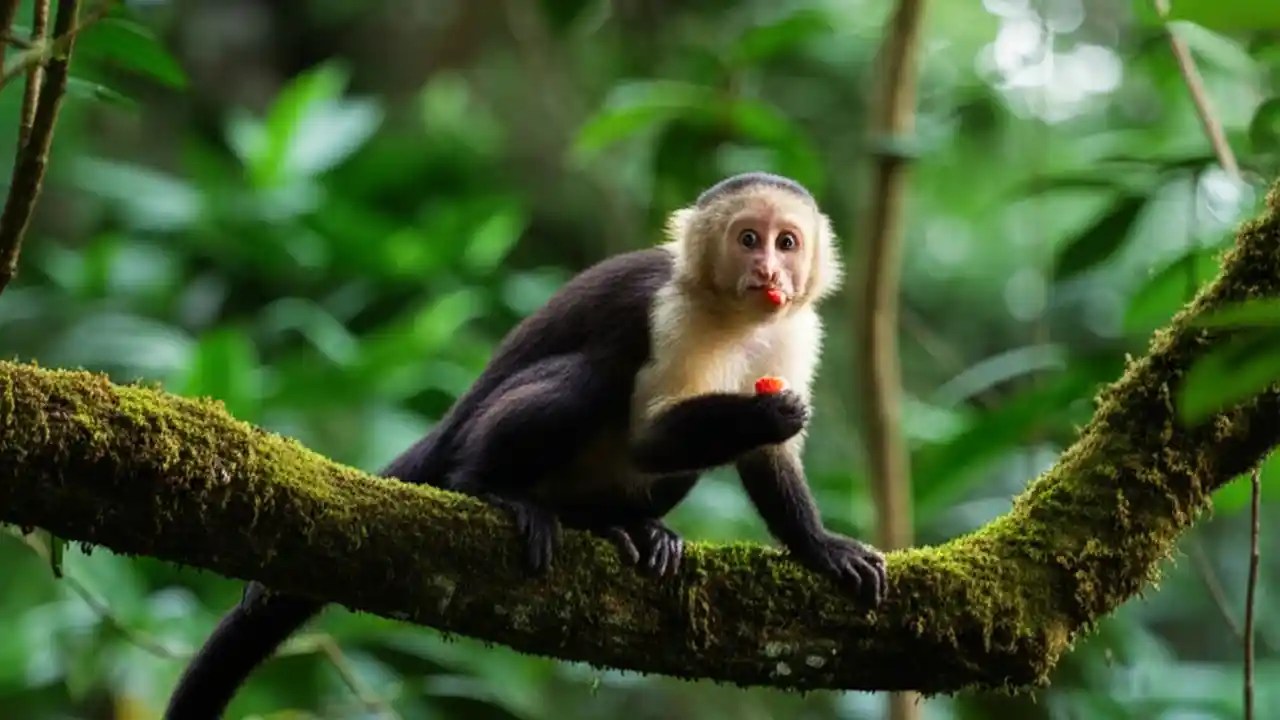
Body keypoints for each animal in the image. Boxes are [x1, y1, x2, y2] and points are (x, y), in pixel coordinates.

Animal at [163, 172, 886, 719]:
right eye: (747, 239)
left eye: (787, 242)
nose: (768, 270)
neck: (734, 318)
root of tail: (452, 423)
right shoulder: (671, 312)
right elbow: (651, 436)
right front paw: (766, 413)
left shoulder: (797, 328)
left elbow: (766, 461)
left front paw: (820, 547)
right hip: (479, 431)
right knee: (591, 382)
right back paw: (492, 486)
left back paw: (621, 525)